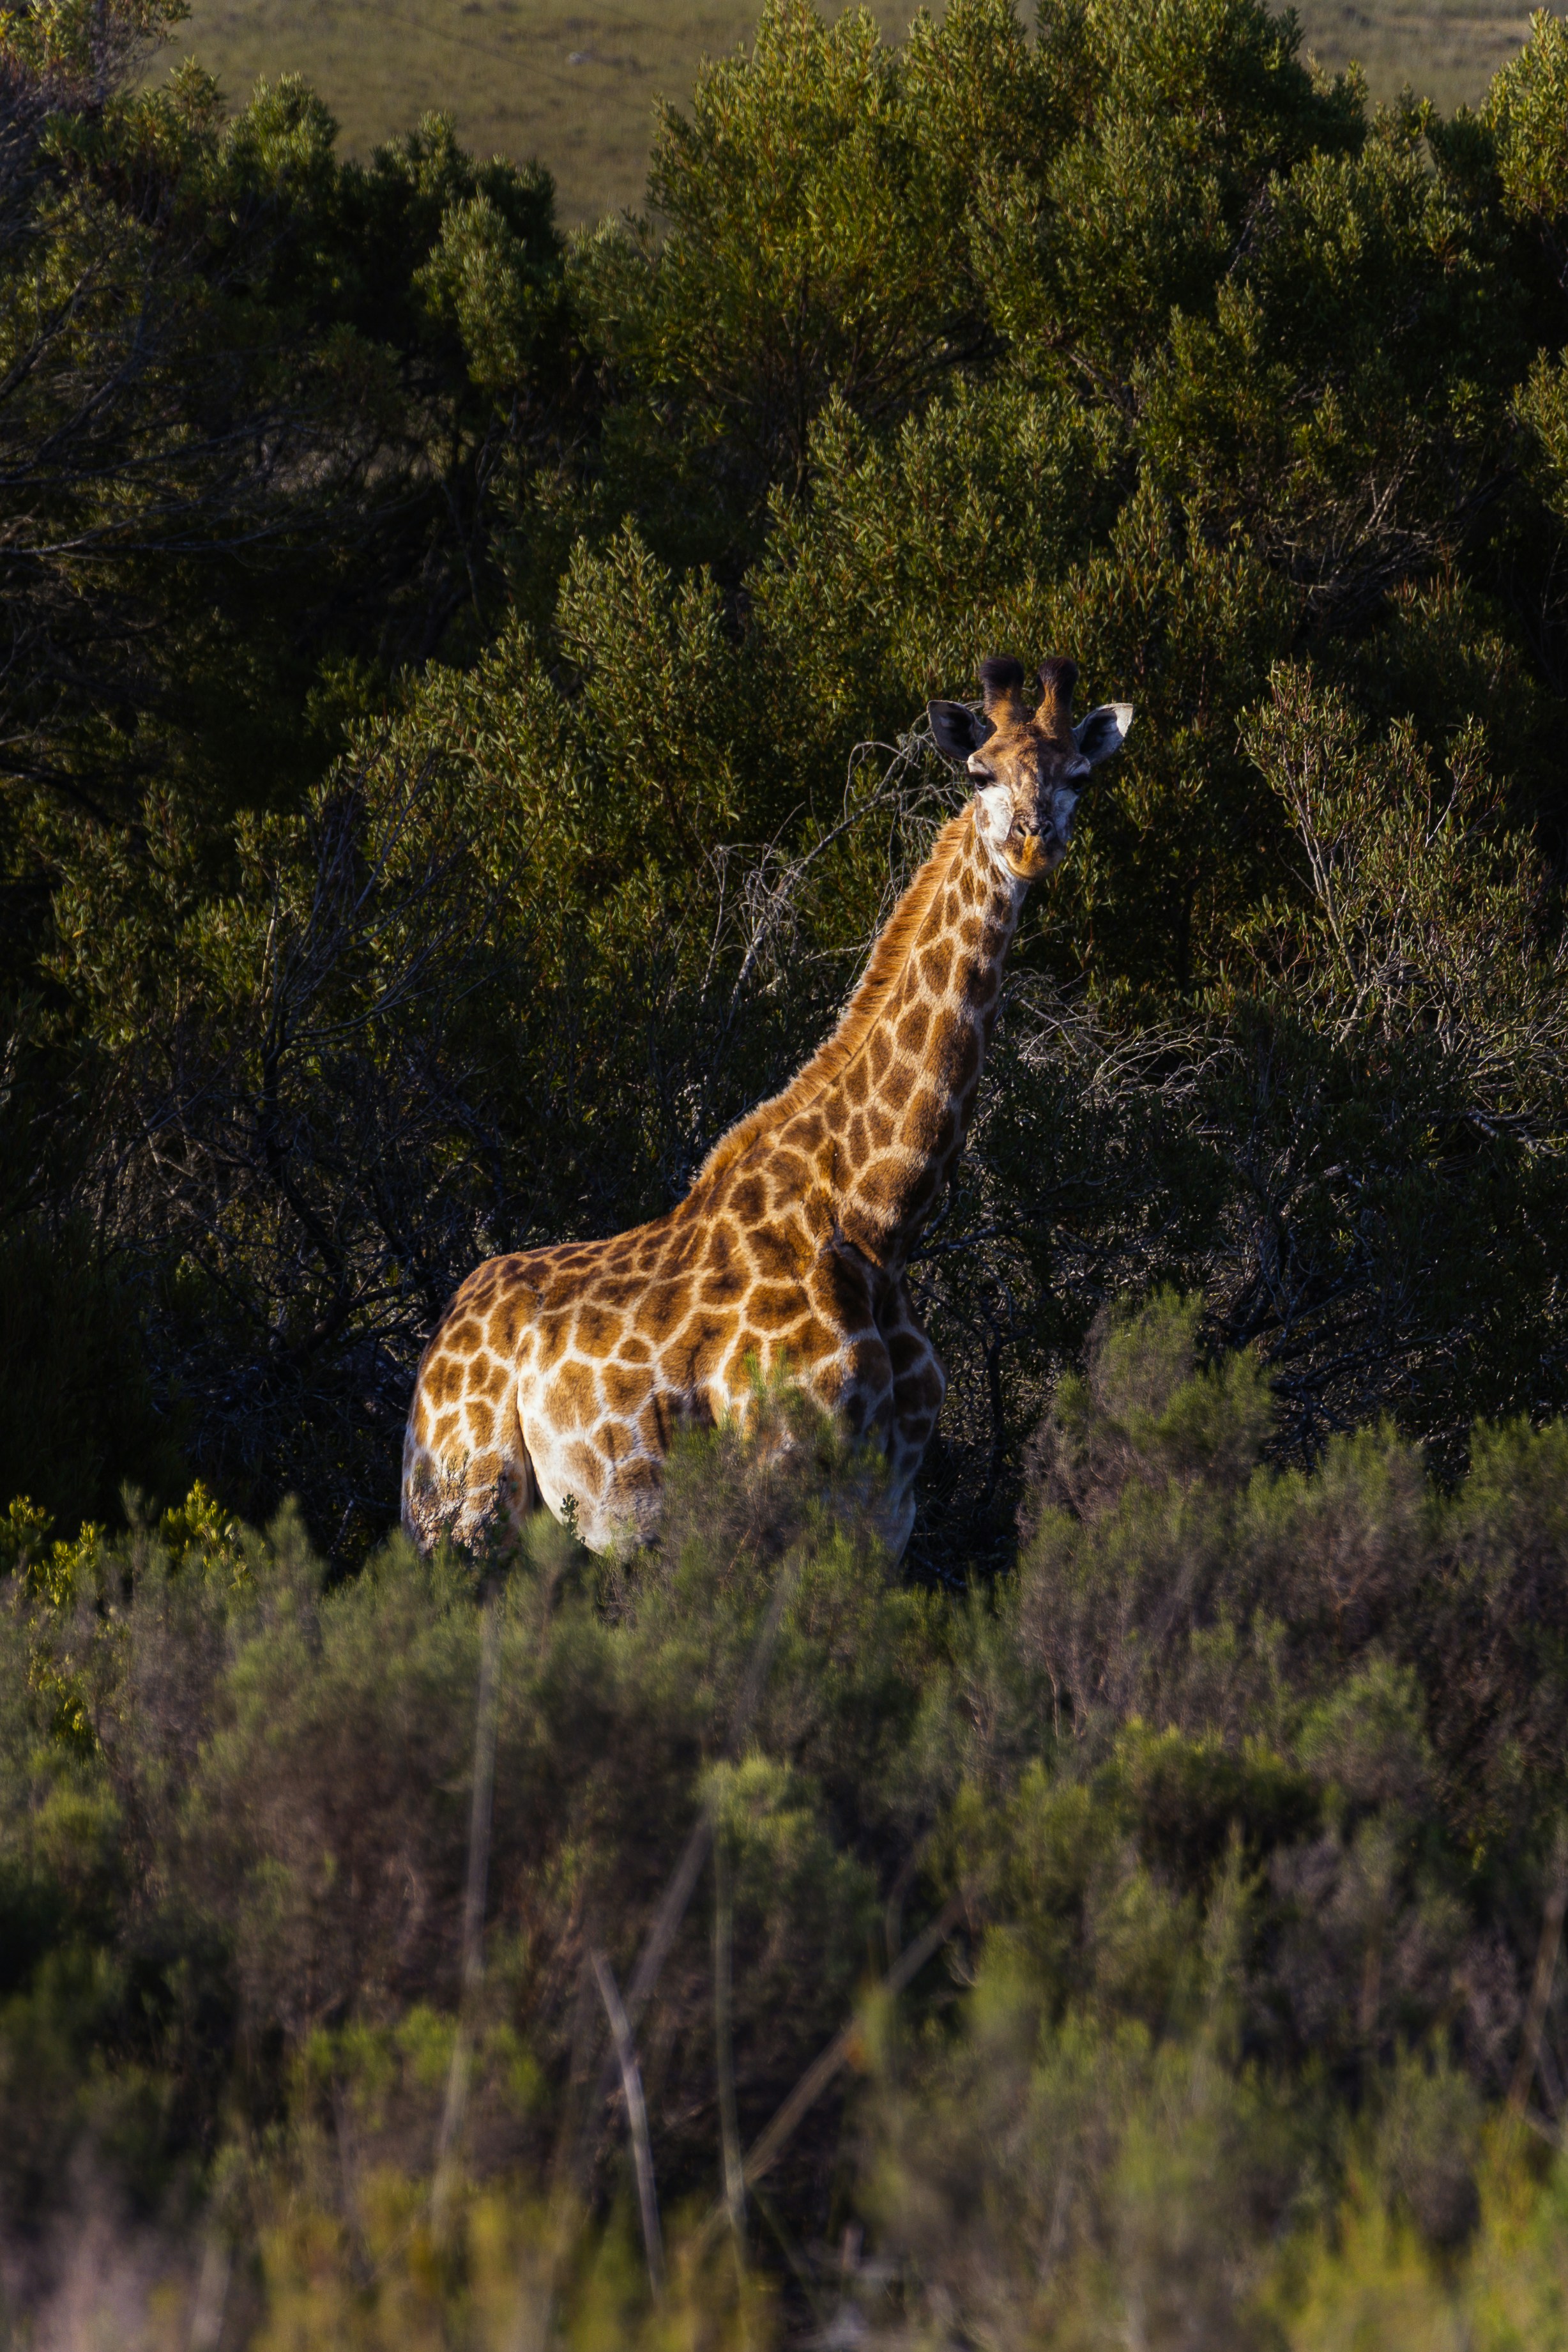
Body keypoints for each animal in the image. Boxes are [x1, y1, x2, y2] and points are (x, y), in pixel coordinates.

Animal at [402, 654, 1132, 1560]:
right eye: (978, 772)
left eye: (1078, 776)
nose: (1032, 843)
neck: (875, 1221)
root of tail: (437, 1344)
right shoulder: (773, 1486)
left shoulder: (888, 1506)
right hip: (460, 1508)